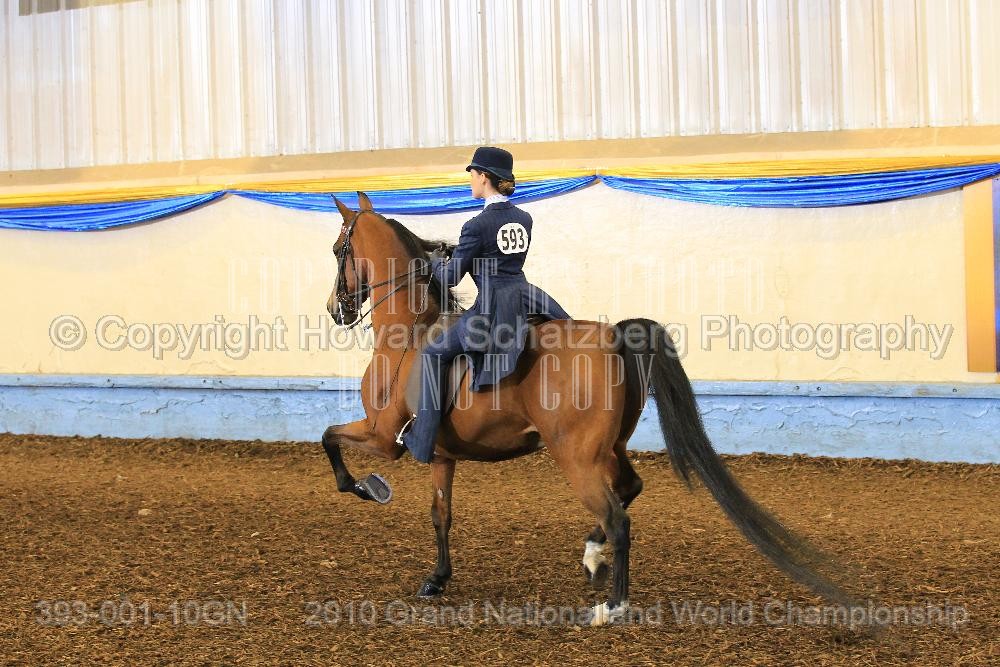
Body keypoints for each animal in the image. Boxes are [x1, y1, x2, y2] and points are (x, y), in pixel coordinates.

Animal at [321, 192, 858, 625]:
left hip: (576, 458)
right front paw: (437, 578)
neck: (408, 331)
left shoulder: (381, 435)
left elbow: (329, 439)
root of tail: (615, 335)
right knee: (629, 489)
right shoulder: (440, 455)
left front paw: (366, 488)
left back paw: (612, 605)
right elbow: (441, 515)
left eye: (337, 250)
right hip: (607, 449)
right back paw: (593, 555)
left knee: (619, 516)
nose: (335, 309)